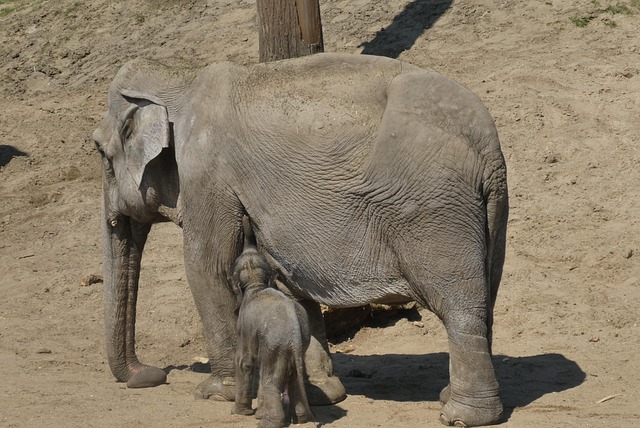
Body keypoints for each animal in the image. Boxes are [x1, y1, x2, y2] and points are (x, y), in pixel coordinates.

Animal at [232, 216, 314, 427]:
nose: (246, 218)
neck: (255, 283)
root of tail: (294, 334)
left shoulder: (243, 326)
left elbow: (244, 361)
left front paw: (240, 412)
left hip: (276, 345)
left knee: (270, 380)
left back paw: (268, 423)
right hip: (297, 344)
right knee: (293, 380)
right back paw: (301, 419)